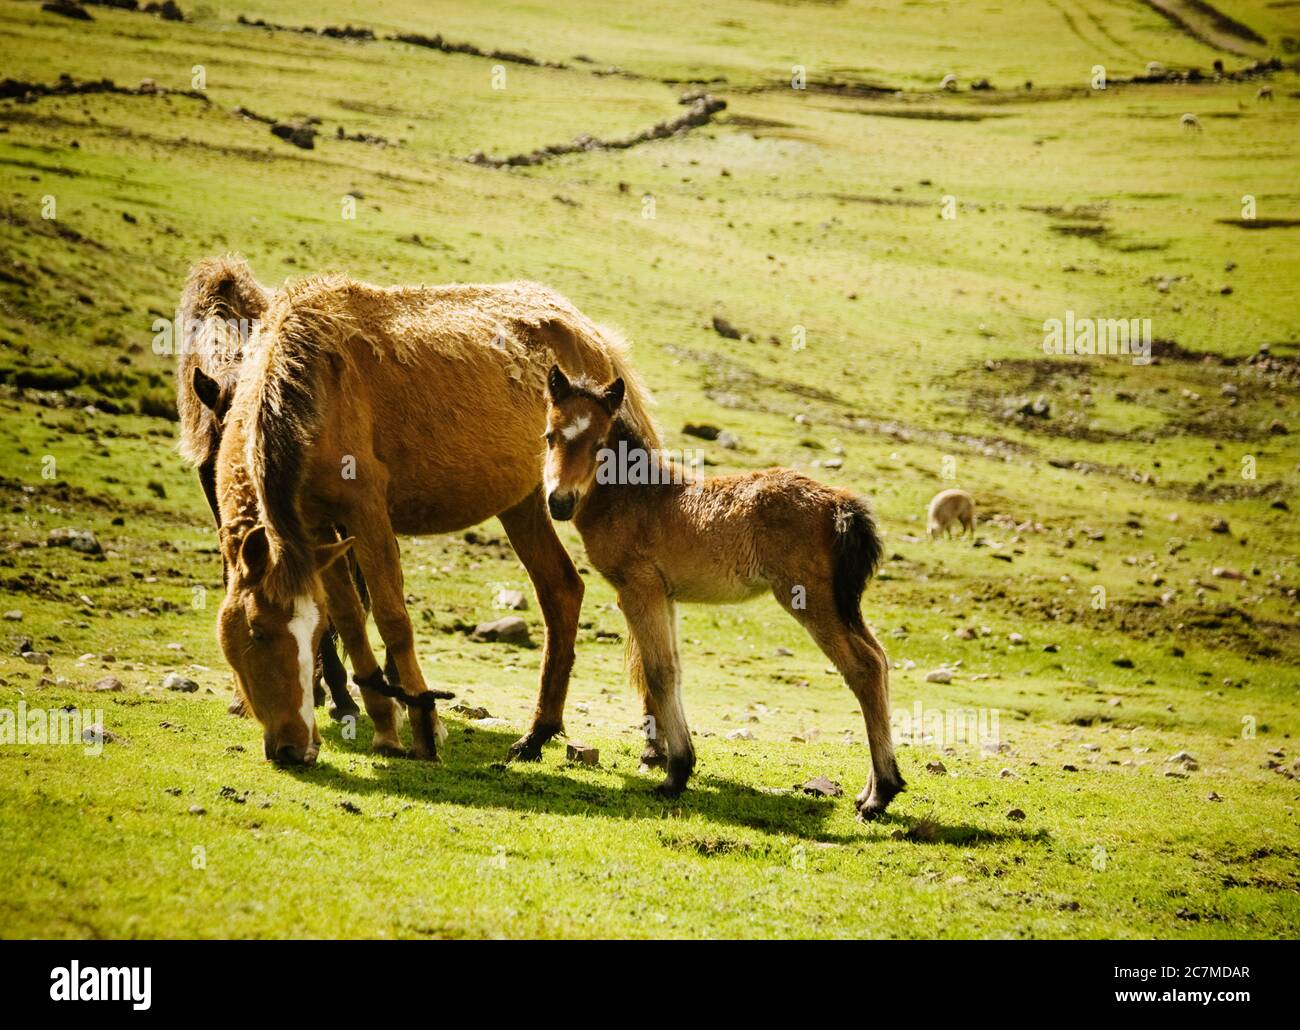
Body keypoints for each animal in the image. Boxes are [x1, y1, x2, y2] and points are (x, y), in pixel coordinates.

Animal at [213, 275, 656, 766]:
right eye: (256, 632)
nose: (293, 747)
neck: (308, 381)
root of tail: (586, 330)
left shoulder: (365, 513)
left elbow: (392, 619)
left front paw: (424, 728)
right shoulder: (315, 529)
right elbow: (349, 619)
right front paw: (384, 725)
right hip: (523, 504)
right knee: (561, 591)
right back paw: (538, 734)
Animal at [541, 366, 904, 819]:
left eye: (597, 445)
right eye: (550, 436)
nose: (559, 502)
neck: (634, 496)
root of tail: (841, 503)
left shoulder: (638, 588)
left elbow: (659, 673)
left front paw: (676, 774)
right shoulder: (665, 596)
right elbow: (672, 670)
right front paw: (677, 762)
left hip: (810, 599)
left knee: (864, 668)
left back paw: (879, 796)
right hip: (840, 603)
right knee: (880, 658)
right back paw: (872, 788)